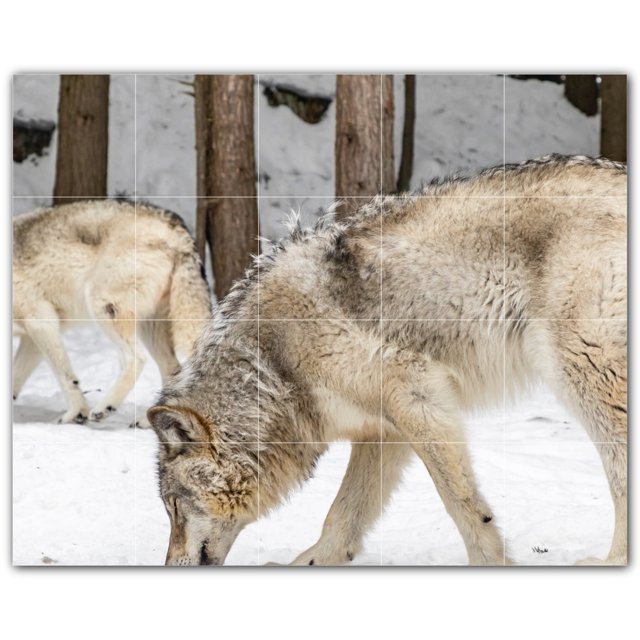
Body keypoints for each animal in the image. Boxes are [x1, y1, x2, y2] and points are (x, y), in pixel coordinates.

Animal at [13, 200, 211, 425]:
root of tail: (175, 225)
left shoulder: (41, 320)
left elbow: (65, 375)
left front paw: (76, 414)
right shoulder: (31, 337)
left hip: (103, 308)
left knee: (137, 359)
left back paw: (104, 408)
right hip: (148, 326)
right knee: (172, 369)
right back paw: (148, 421)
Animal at [148, 155, 627, 566]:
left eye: (173, 507)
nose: (170, 565)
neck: (274, 364)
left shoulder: (416, 396)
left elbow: (461, 503)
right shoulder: (384, 430)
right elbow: (342, 513)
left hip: (584, 375)